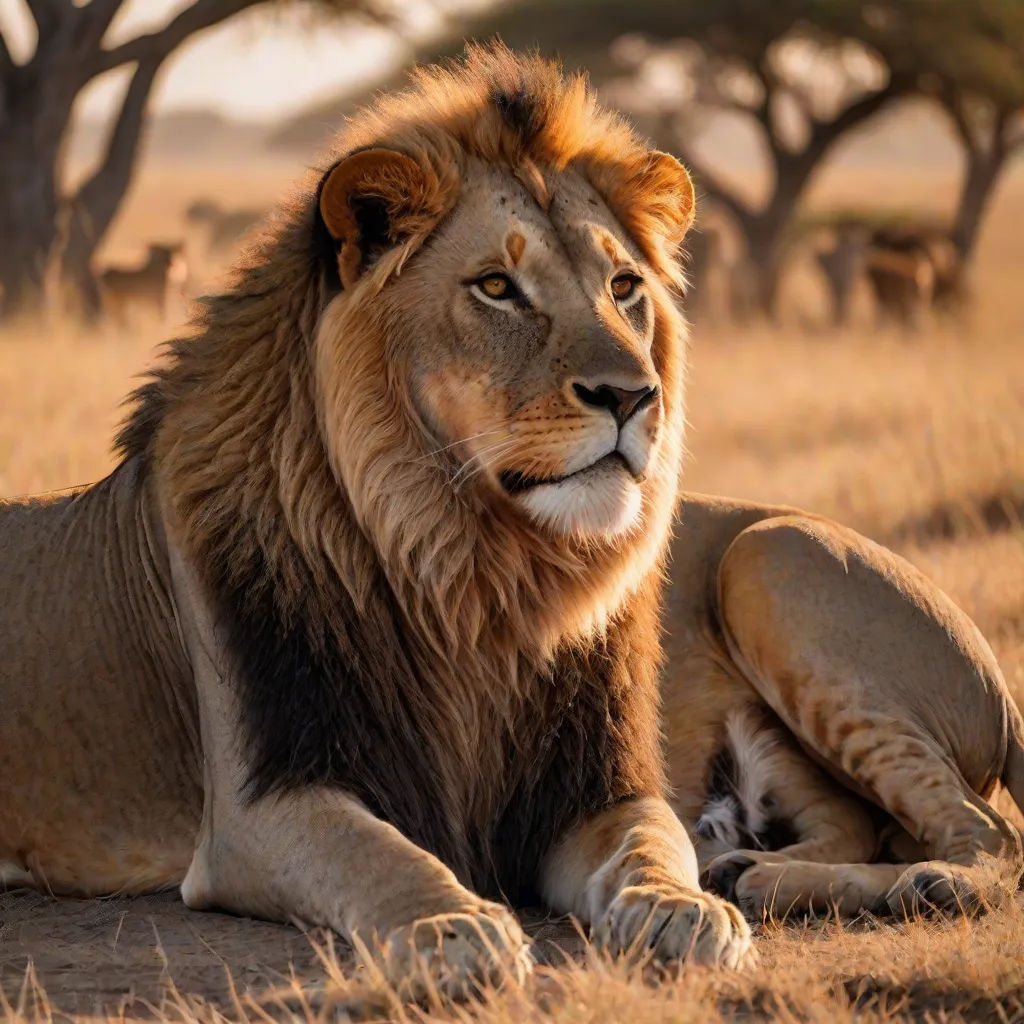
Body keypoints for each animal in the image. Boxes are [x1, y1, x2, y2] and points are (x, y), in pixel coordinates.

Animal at [0, 46, 752, 997]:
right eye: (497, 288)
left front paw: (688, 910)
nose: (632, 396)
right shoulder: (261, 806)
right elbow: (383, 856)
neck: (474, 576)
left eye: (625, 288)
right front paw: (451, 924)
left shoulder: (598, 788)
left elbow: (655, 842)